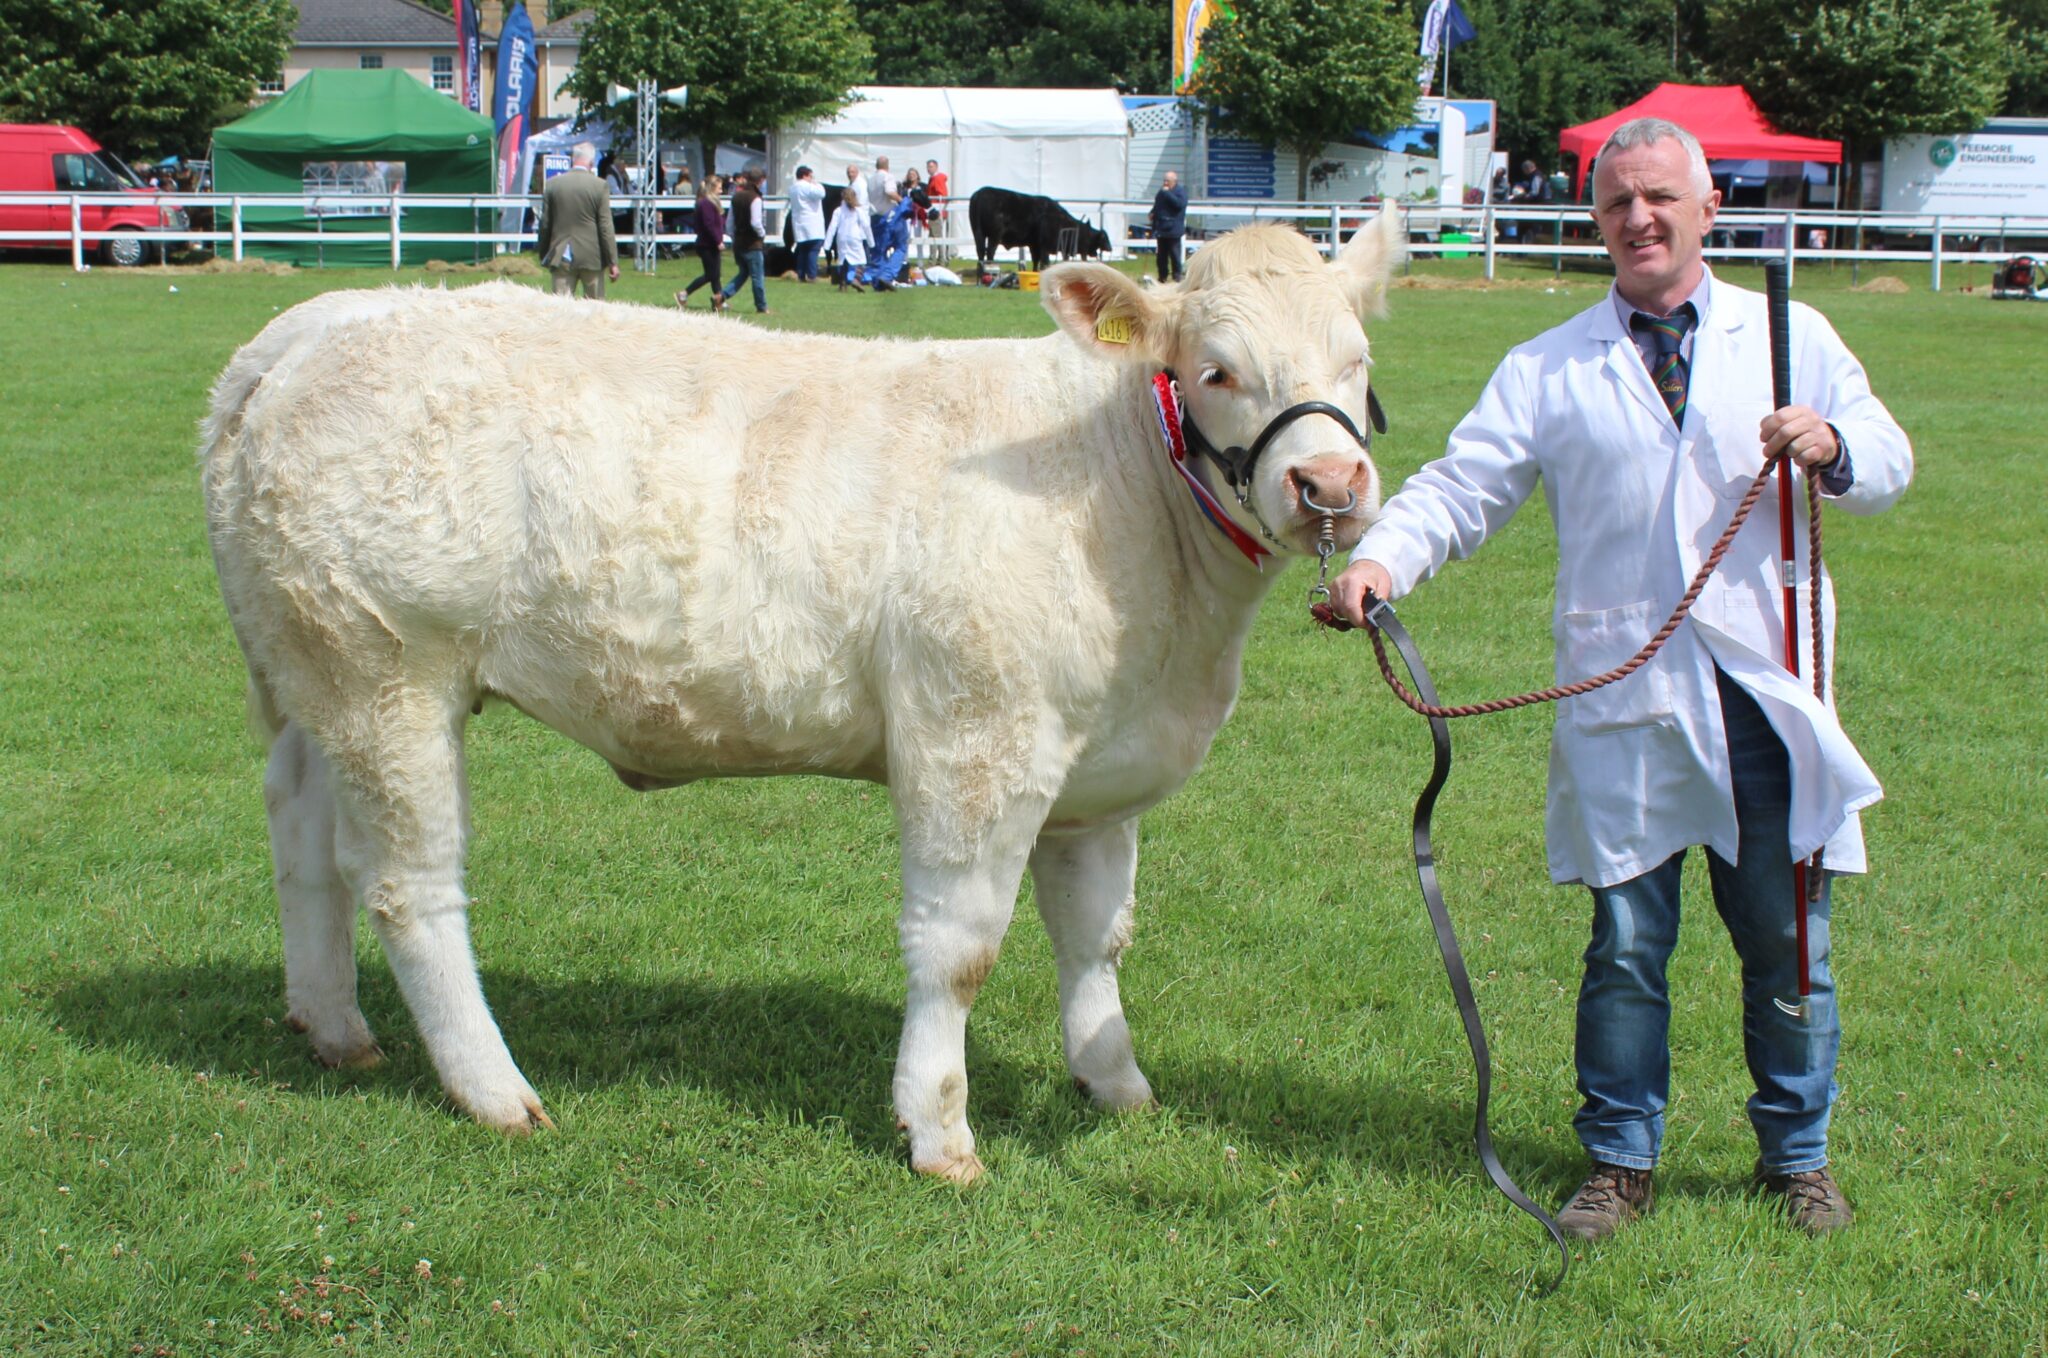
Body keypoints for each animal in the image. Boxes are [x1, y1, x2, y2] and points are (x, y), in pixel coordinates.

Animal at [201, 213, 1402, 1184]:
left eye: (1358, 360)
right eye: (1214, 370)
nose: (1329, 487)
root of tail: (324, 321)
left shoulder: (1100, 769)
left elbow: (1097, 938)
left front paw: (1117, 1085)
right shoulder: (975, 737)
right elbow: (959, 946)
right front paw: (939, 1133)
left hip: (312, 668)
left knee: (301, 834)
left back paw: (333, 1026)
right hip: (389, 673)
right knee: (407, 884)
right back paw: (494, 1090)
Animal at [969, 186, 1113, 273]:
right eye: (1104, 237)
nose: (1110, 248)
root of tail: (980, 193)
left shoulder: (1034, 245)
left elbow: (1036, 260)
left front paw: (1035, 272)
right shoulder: (1044, 246)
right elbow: (1044, 261)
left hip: (978, 233)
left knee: (980, 252)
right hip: (995, 235)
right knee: (990, 252)